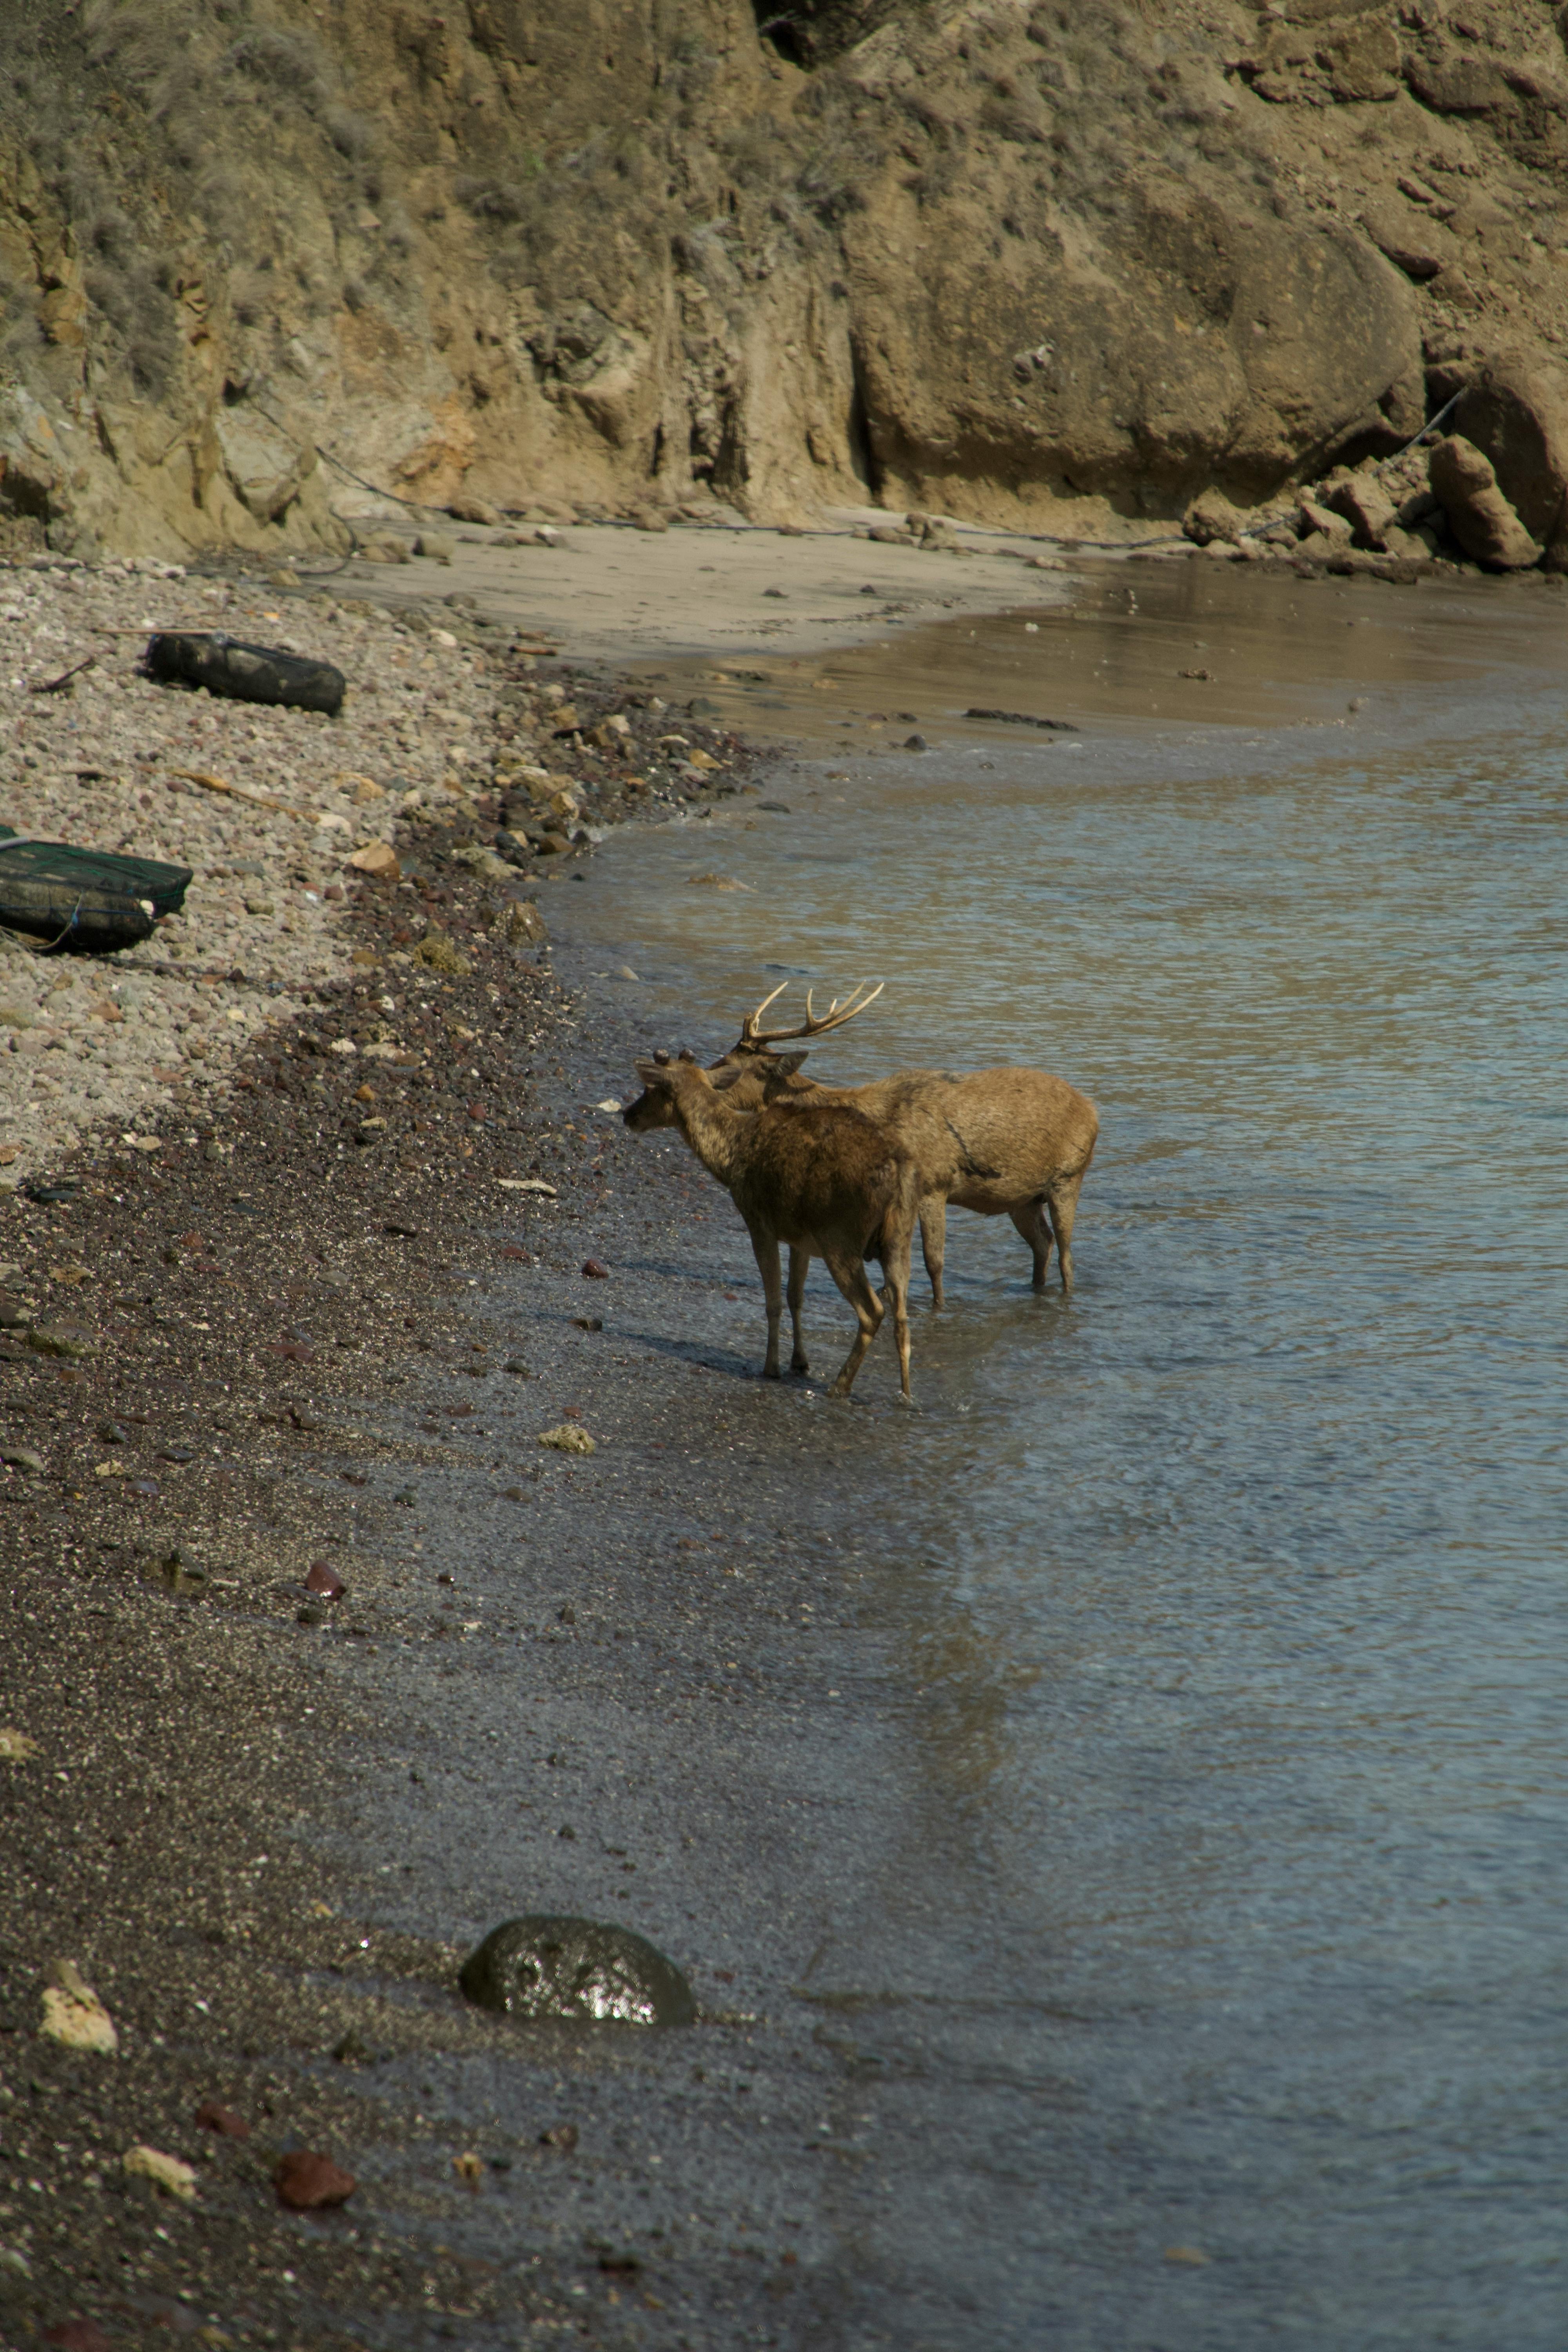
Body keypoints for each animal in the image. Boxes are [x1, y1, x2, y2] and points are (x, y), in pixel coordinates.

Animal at [622, 984, 1098, 1309]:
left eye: (739, 1065)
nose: (704, 1078)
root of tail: (1095, 1113)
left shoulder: (935, 1183)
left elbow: (934, 1261)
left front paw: (939, 1309)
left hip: (1069, 1176)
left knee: (1067, 1253)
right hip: (1023, 1197)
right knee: (1043, 1243)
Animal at [629, 1055, 918, 1401]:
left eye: (651, 1088)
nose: (628, 1115)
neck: (730, 1158)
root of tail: (899, 1172)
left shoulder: (759, 1222)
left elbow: (773, 1302)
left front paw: (772, 1367)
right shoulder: (800, 1238)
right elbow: (795, 1296)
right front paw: (800, 1362)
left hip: (841, 1237)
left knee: (873, 1311)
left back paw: (840, 1385)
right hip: (900, 1237)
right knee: (902, 1317)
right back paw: (906, 1395)